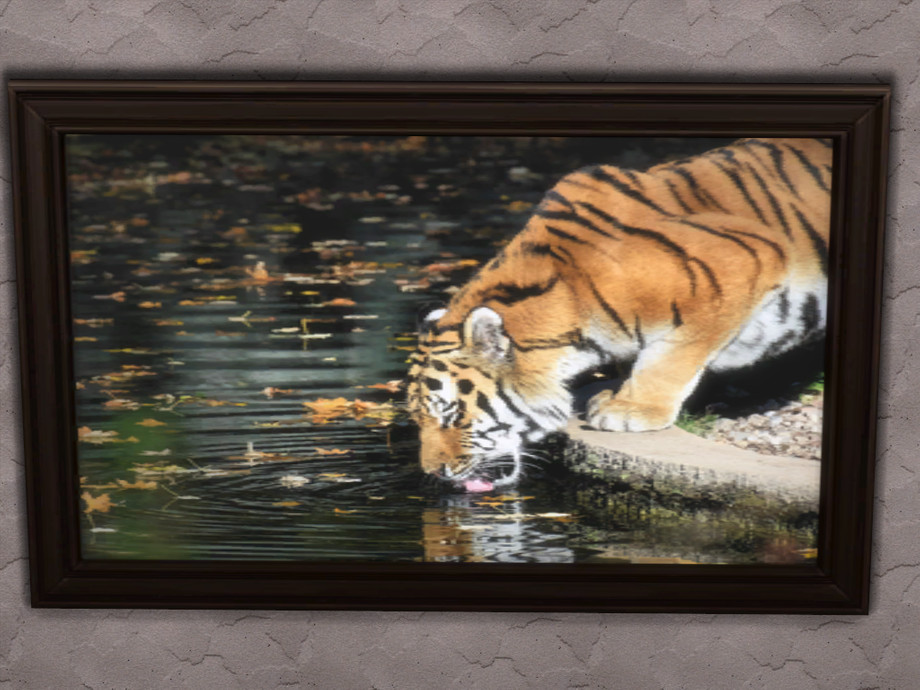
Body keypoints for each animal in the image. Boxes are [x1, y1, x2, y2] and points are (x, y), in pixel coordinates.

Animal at [406, 138, 832, 490]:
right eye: (418, 419)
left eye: (451, 417)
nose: (434, 473)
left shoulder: (743, 259)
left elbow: (672, 355)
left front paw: (631, 409)